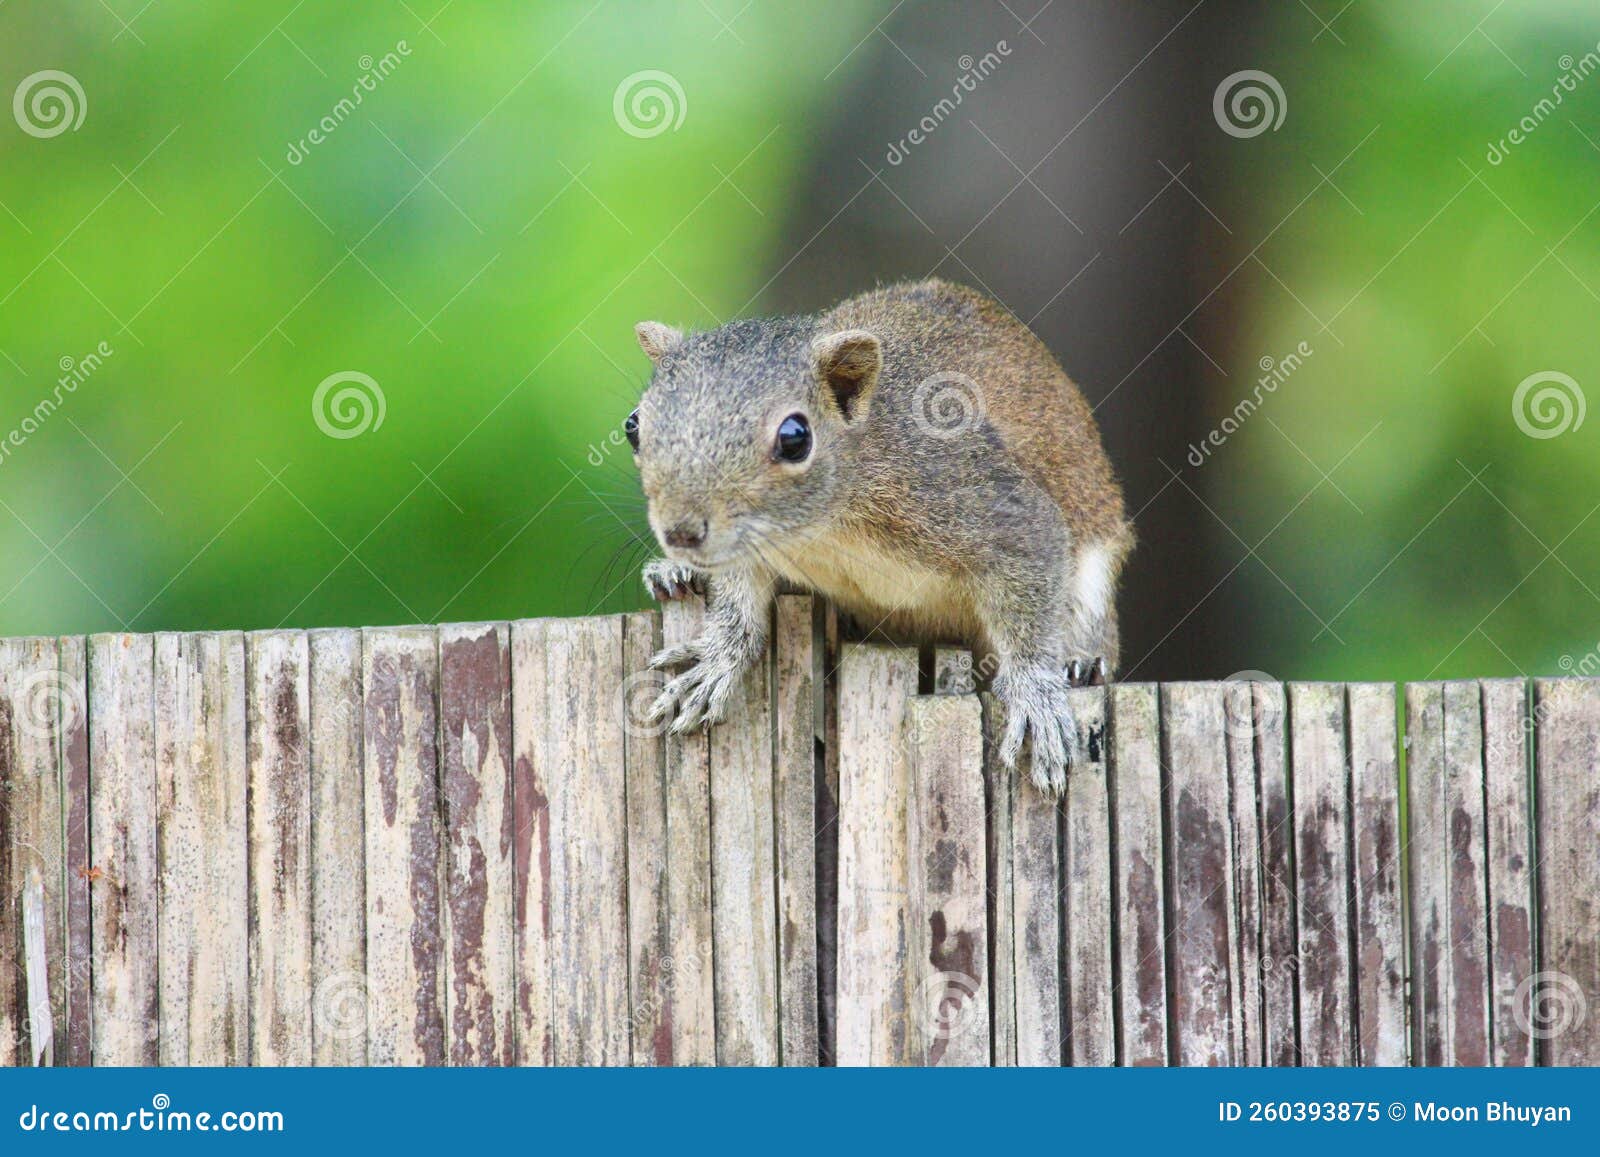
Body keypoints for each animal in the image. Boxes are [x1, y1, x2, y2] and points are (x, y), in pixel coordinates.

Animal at [626, 278, 1131, 794]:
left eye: (795, 437)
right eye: (633, 426)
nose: (681, 532)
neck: (820, 529)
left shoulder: (989, 505)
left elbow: (1031, 581)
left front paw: (1035, 696)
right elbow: (738, 611)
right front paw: (717, 660)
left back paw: (1082, 663)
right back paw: (675, 573)